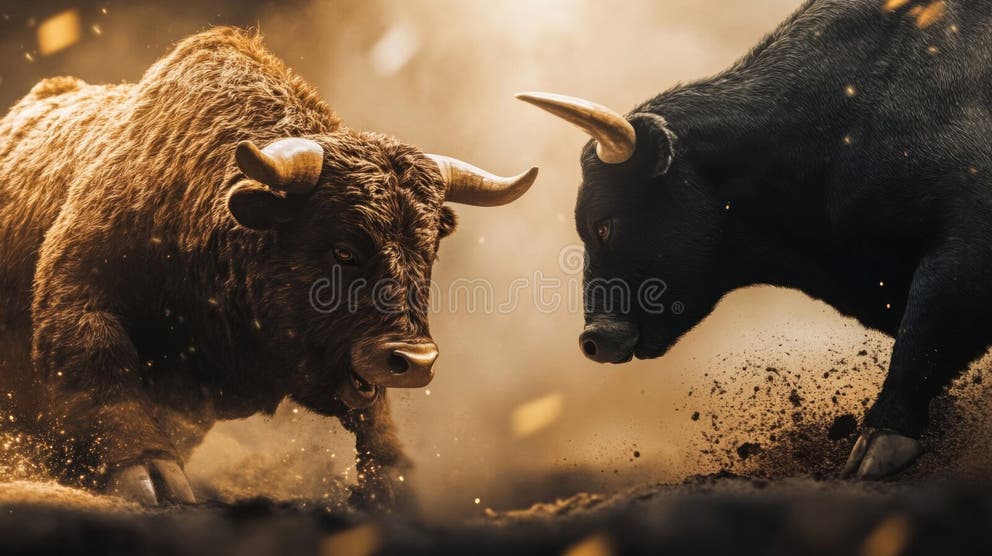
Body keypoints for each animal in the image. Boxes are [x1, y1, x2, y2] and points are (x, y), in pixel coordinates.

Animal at [0, 27, 537, 508]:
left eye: (429, 250)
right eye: (343, 250)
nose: (416, 361)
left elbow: (373, 413)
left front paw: (392, 481)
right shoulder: (81, 294)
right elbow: (102, 369)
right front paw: (153, 478)